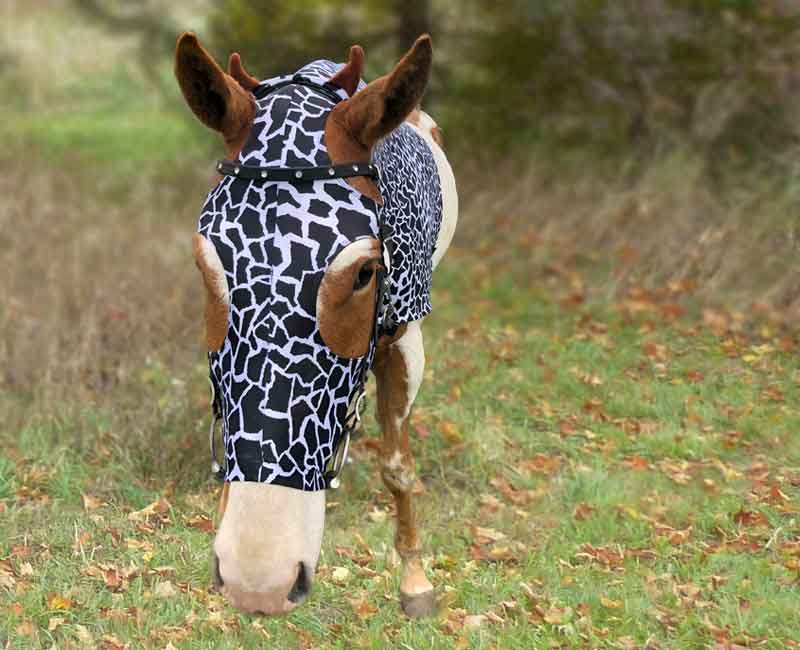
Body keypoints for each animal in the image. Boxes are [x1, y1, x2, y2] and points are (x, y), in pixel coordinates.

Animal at [174, 30, 458, 618]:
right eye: (203, 263)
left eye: (366, 271)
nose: (258, 580)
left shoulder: (406, 341)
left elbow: (398, 466)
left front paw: (415, 581)